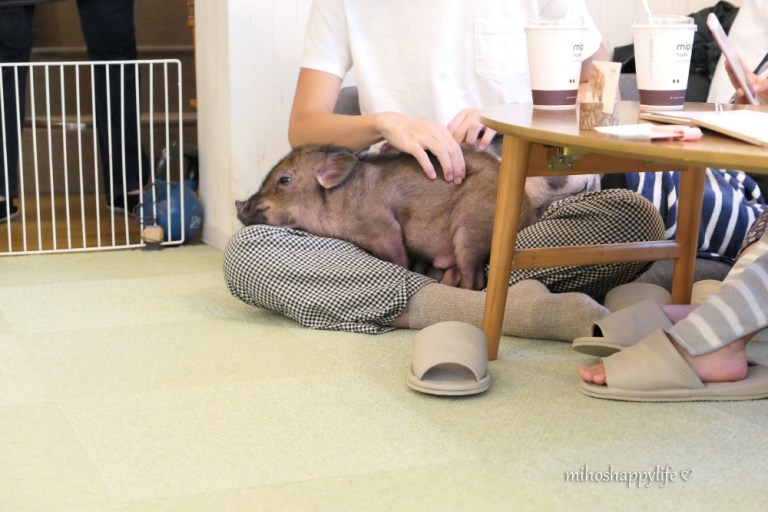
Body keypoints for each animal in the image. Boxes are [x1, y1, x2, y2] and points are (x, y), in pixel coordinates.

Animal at [236, 144, 537, 290]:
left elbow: (398, 258)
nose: (239, 204)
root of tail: (528, 209)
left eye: (284, 180)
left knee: (474, 280)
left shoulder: (383, 228)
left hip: (471, 232)